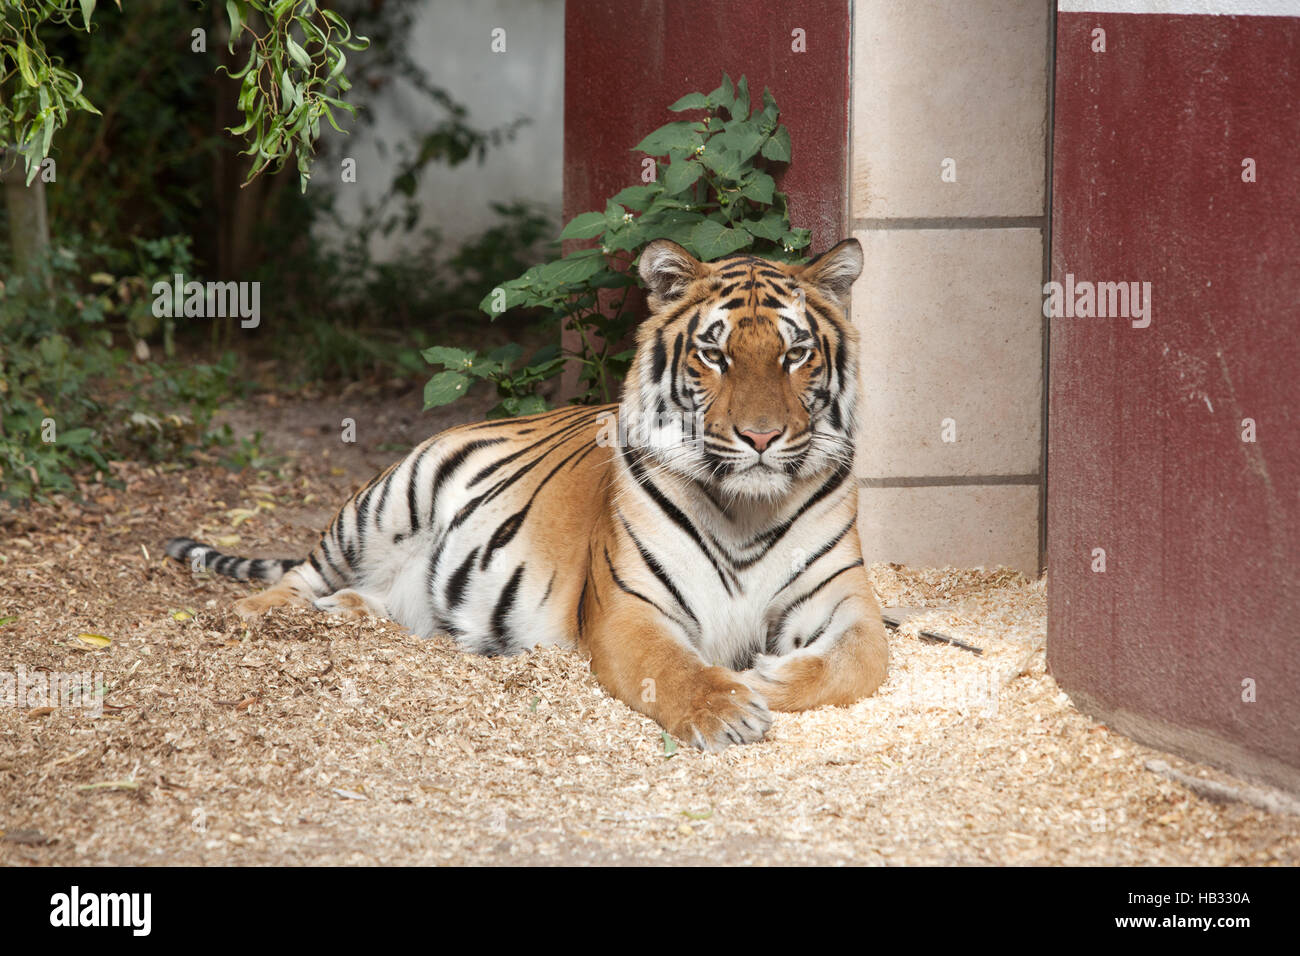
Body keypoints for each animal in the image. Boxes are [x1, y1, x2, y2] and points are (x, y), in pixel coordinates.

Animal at [166, 238, 888, 751]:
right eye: (715, 356)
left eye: (796, 355)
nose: (761, 436)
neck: (746, 506)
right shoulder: (629, 610)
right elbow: (672, 666)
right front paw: (729, 708)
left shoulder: (846, 599)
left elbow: (860, 661)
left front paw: (767, 675)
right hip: (386, 502)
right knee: (297, 578)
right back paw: (259, 616)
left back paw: (350, 614)